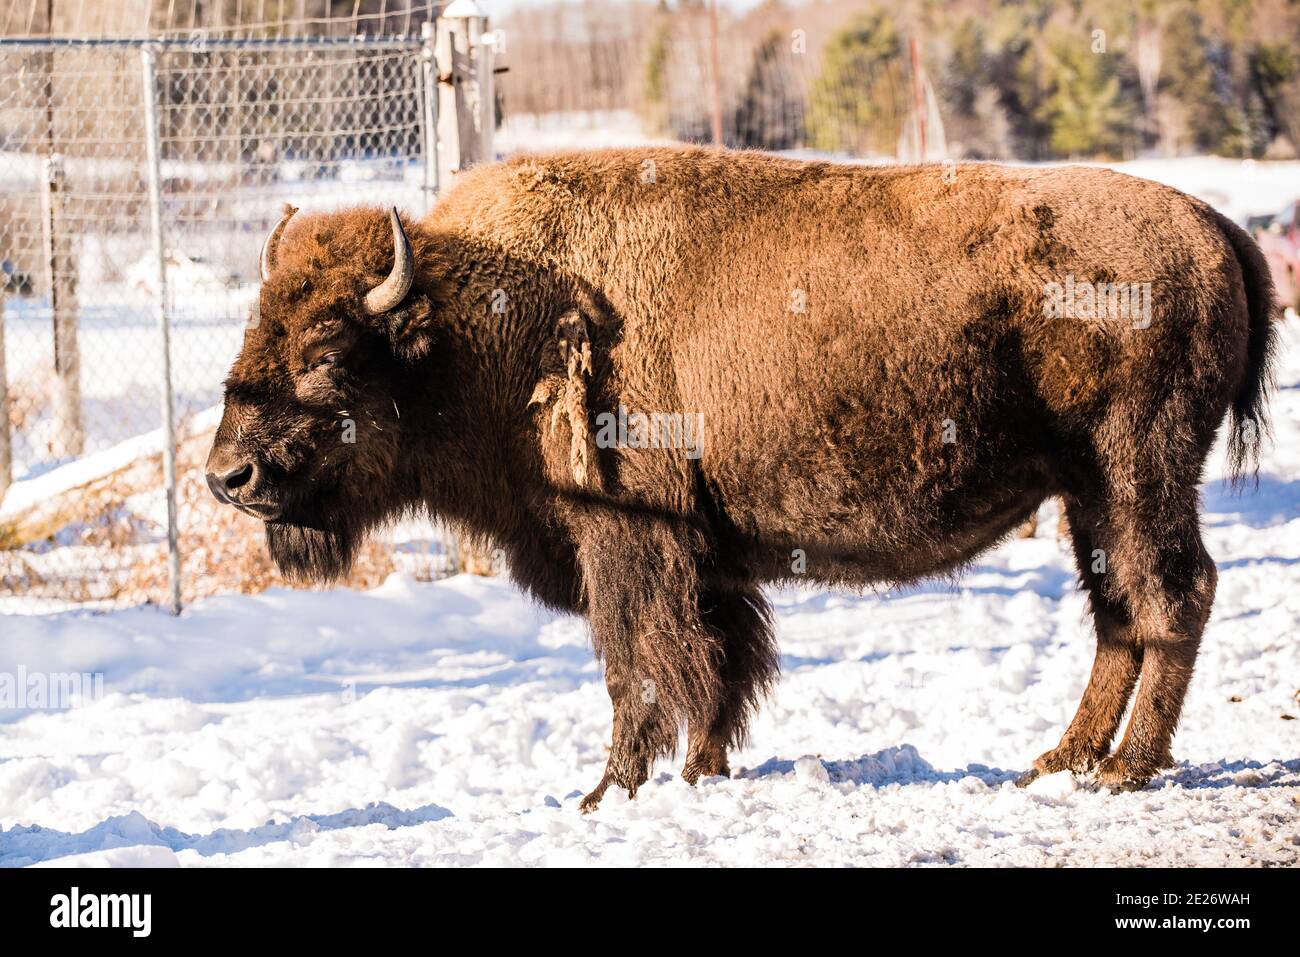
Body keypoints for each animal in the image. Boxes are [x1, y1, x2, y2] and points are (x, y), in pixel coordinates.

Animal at [207, 147, 1275, 809]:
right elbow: (718, 661)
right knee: (1118, 612)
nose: (229, 474)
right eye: (257, 326)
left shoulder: (627, 539)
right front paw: (702, 772)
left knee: (1173, 593)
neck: (495, 315)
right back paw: (1060, 760)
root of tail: (1215, 225)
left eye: (329, 352)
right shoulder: (703, 553)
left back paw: (1124, 769)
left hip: (1136, 470)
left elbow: (639, 664)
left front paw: (608, 792)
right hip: (1088, 492)